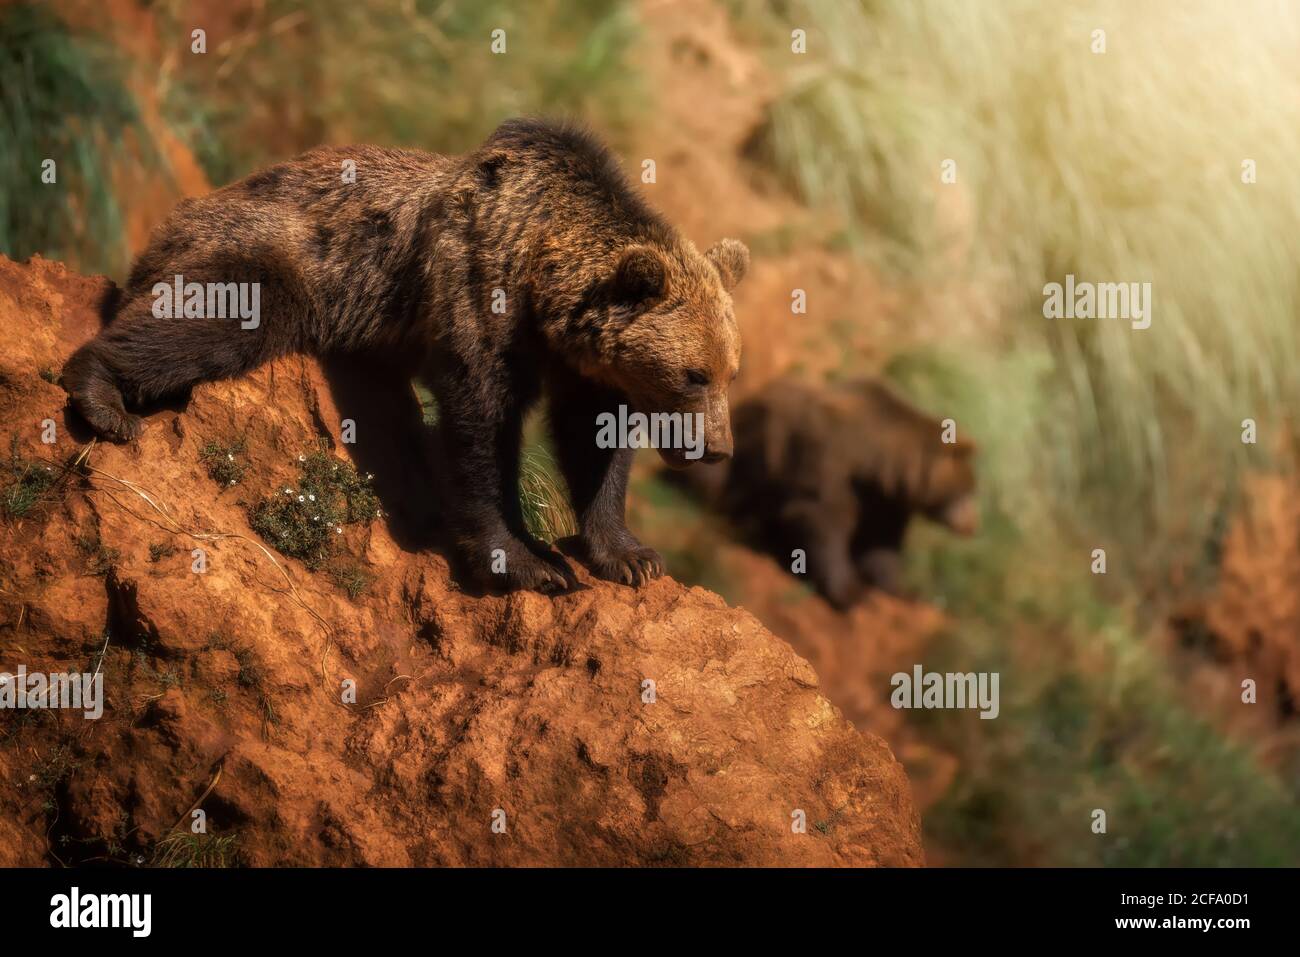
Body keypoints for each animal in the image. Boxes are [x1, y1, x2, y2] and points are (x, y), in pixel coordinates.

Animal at [62, 118, 749, 594]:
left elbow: (595, 444)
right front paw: (528, 563)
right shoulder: (479, 296)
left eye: (729, 374)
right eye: (694, 374)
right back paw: (101, 394)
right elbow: (480, 424)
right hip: (274, 245)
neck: (541, 277)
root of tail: (172, 218)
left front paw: (630, 556)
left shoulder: (583, 368)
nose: (717, 449)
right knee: (220, 311)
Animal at [676, 376, 977, 609]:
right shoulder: (829, 461)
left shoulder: (886, 502)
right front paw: (850, 592)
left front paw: (906, 592)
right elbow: (823, 517)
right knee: (714, 478)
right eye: (968, 490)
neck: (872, 463)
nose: (971, 526)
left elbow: (882, 544)